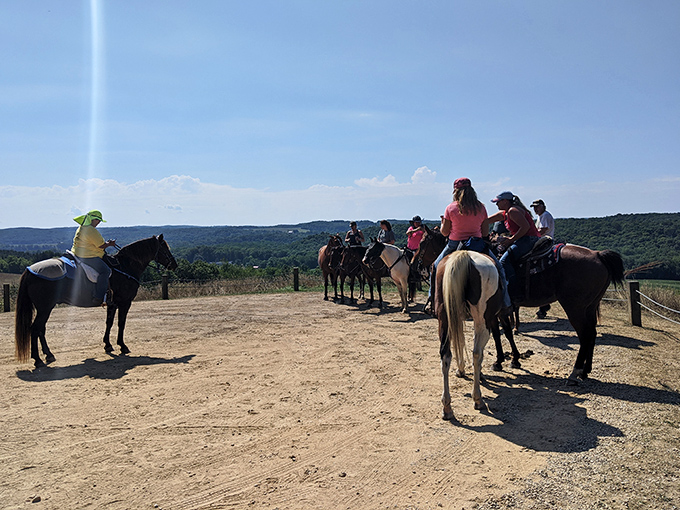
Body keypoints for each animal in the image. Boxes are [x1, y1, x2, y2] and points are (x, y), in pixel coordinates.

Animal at [15, 235, 178, 368]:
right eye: (165, 248)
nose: (174, 264)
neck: (125, 267)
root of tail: (29, 271)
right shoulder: (125, 303)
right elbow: (121, 323)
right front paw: (122, 346)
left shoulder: (113, 304)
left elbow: (109, 323)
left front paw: (108, 345)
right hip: (45, 308)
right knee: (35, 329)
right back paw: (38, 360)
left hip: (45, 308)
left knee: (41, 330)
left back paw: (49, 355)